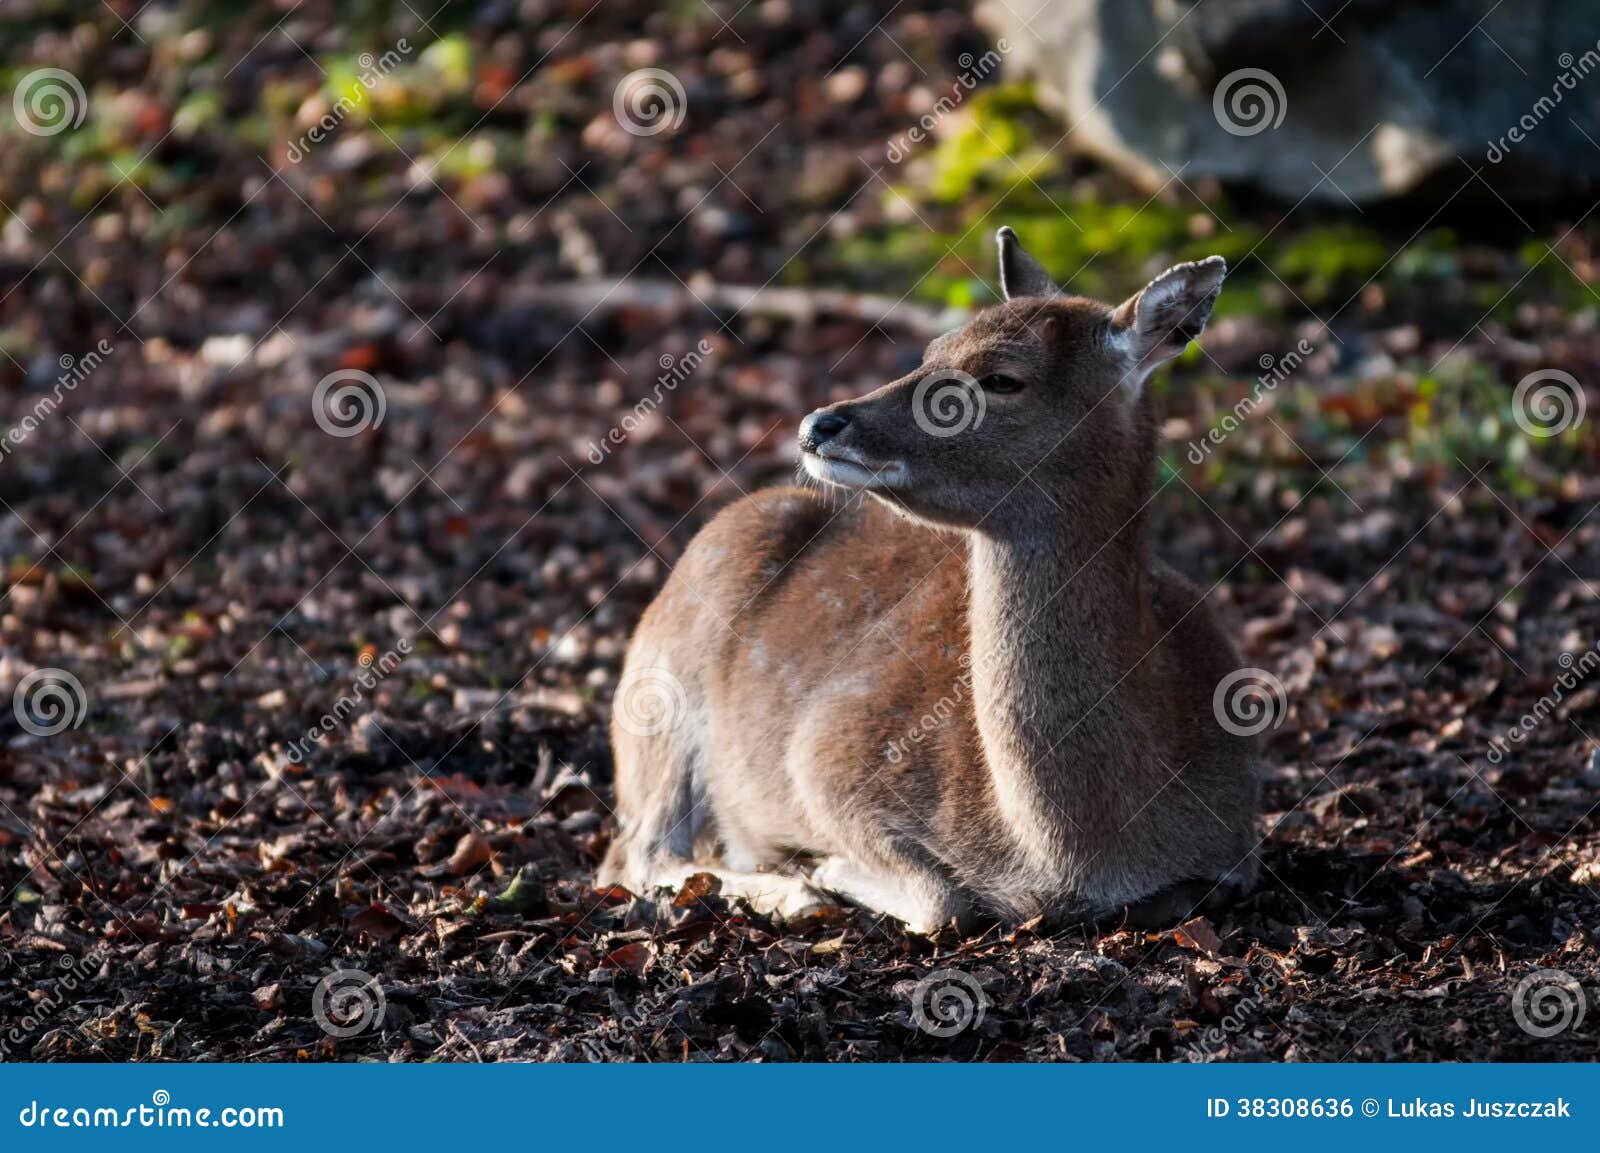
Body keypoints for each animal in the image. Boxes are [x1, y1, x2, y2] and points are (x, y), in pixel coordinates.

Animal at [597, 228, 1261, 933]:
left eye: (1001, 378)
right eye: (932, 350)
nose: (819, 424)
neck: (1074, 854)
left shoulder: (1237, 851)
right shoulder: (825, 754)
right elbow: (942, 901)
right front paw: (822, 870)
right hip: (665, 674)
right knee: (632, 855)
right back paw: (793, 892)